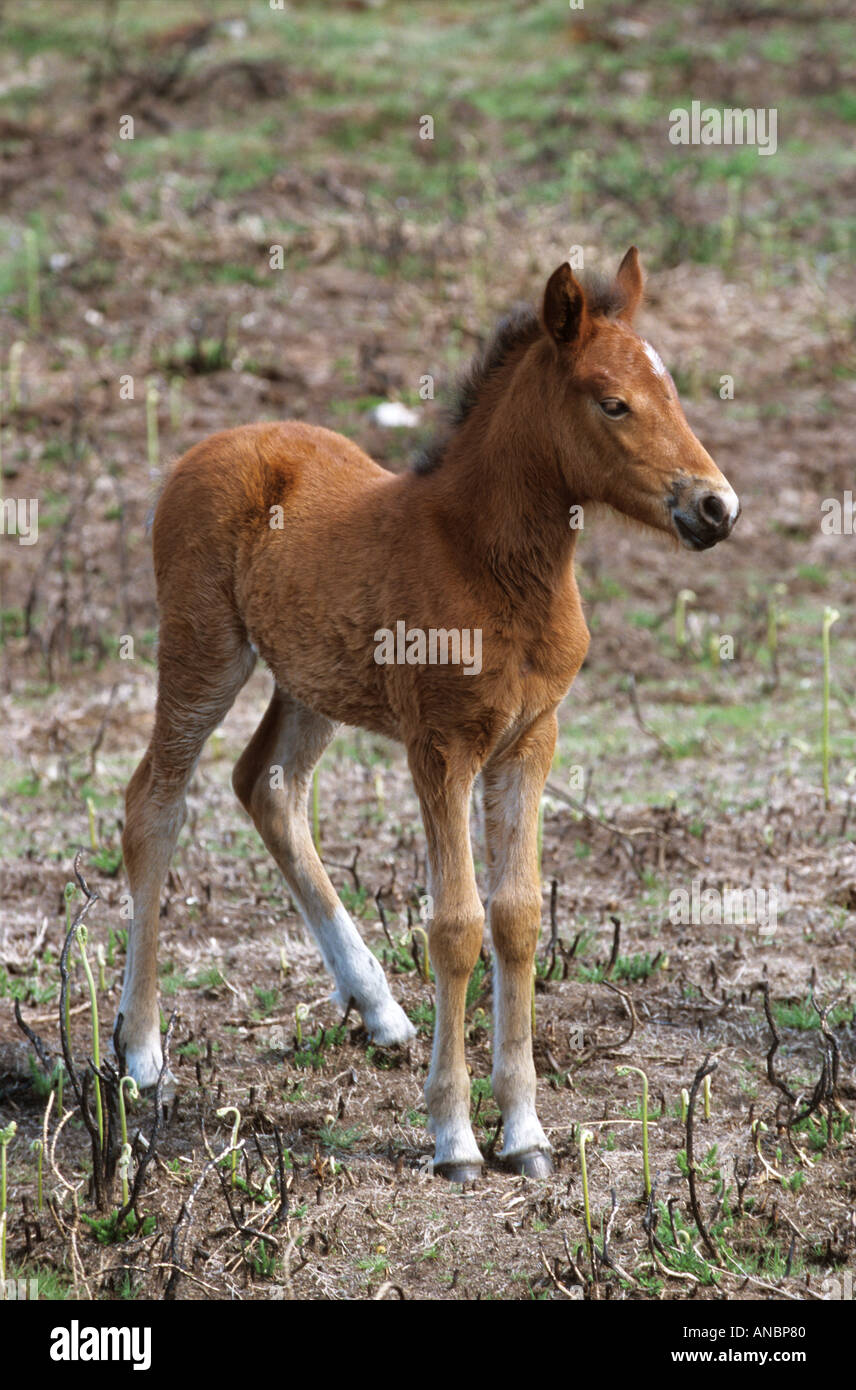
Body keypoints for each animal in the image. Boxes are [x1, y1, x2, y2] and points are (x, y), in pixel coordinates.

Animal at [116, 248, 739, 1181]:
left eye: (672, 388)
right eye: (613, 401)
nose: (715, 507)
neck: (489, 562)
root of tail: (208, 446)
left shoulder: (531, 740)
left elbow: (517, 918)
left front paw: (526, 1131)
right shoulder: (440, 746)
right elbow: (456, 924)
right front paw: (454, 1138)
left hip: (312, 680)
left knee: (267, 785)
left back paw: (378, 1009)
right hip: (203, 650)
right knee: (155, 802)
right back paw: (142, 1051)